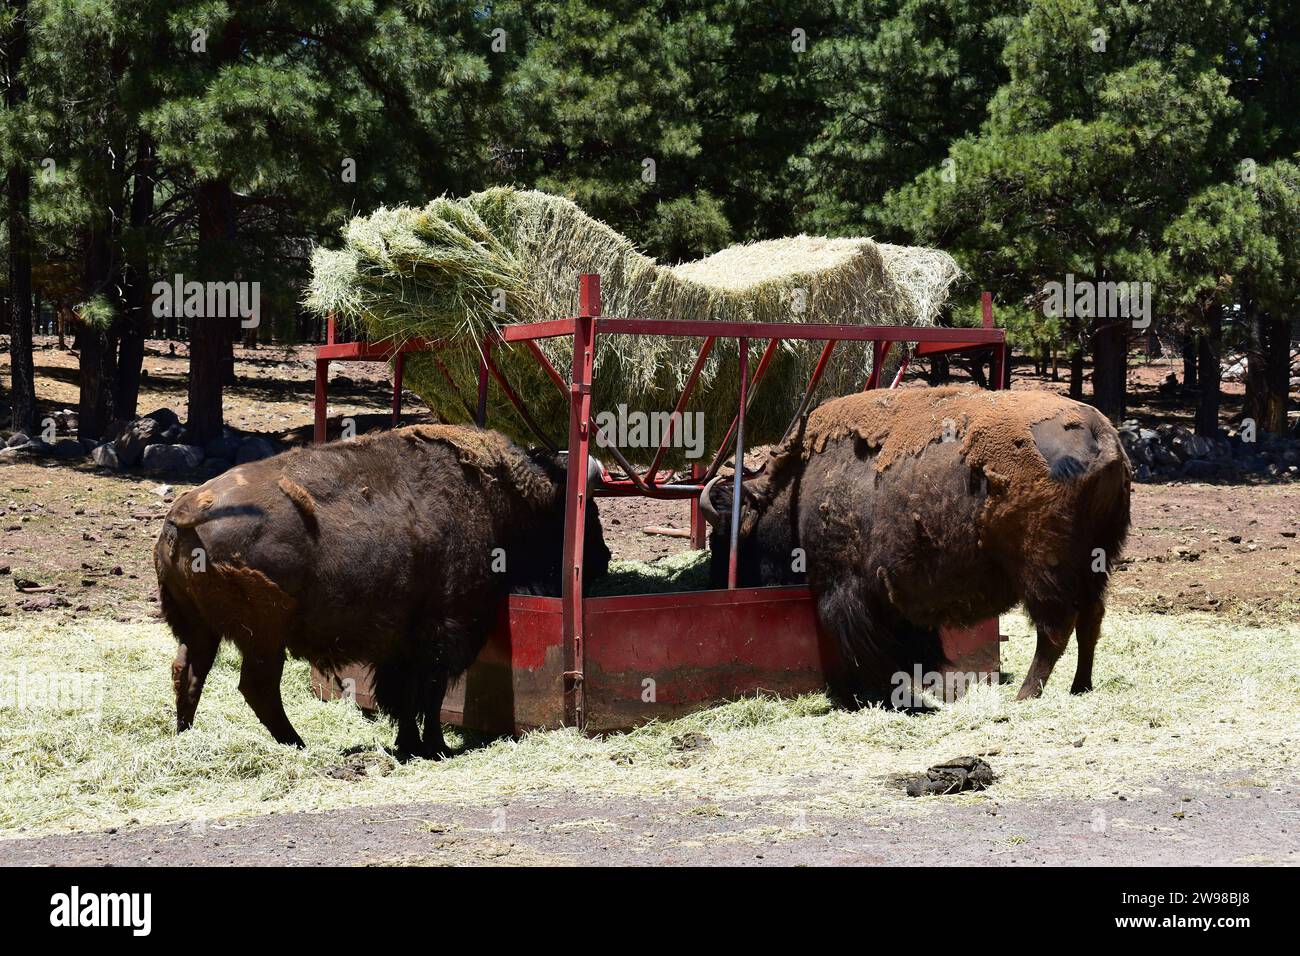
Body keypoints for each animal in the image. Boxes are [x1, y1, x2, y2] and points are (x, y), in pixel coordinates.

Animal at [155, 424, 610, 758]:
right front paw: (434, 747)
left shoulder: (400, 642)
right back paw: (298, 744)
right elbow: (428, 694)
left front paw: (410, 744)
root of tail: (183, 510)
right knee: (257, 686)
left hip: (200, 628)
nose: (600, 560)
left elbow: (403, 696)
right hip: (263, 636)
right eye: (582, 514)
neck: (498, 501)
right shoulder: (444, 630)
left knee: (189, 673)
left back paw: (186, 738)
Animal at [700, 387, 1131, 703]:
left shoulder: (846, 589)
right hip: (1097, 562)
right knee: (1090, 621)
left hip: (1042, 568)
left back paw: (1026, 695)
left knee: (1055, 628)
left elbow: (870, 645)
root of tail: (1103, 437)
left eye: (725, 538)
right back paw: (1080, 687)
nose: (718, 582)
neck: (795, 489)